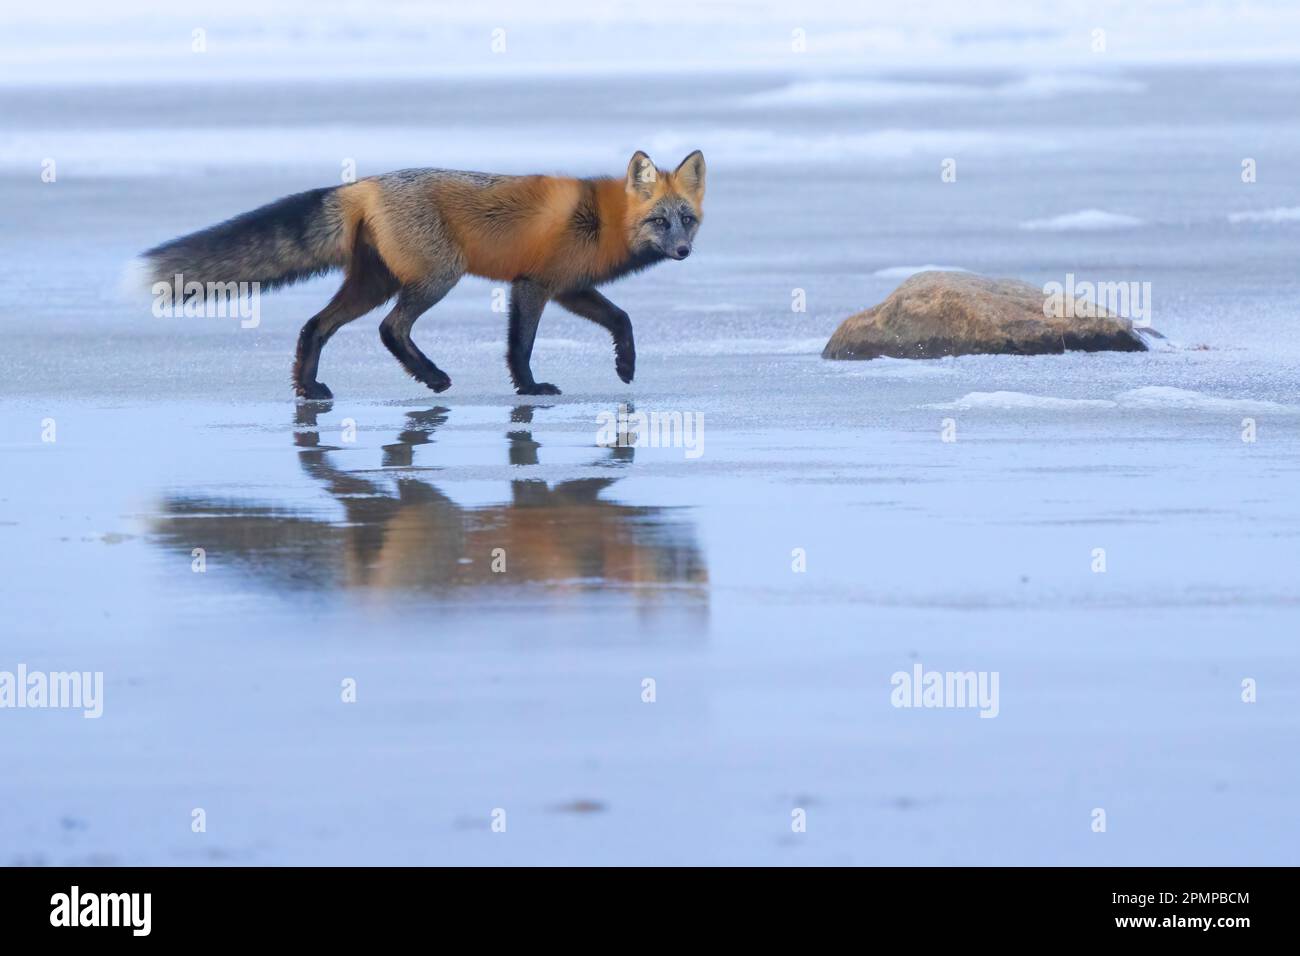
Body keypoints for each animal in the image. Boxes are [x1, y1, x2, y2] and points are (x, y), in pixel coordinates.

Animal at [139, 150, 705, 398]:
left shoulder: (569, 288)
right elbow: (520, 347)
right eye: (659, 220)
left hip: (374, 283)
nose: (683, 251)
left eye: (688, 219)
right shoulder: (534, 285)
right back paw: (432, 377)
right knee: (391, 328)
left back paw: (308, 388)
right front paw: (529, 388)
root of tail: (364, 184)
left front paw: (626, 367)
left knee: (315, 326)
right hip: (437, 277)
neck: (601, 218)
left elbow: (622, 319)